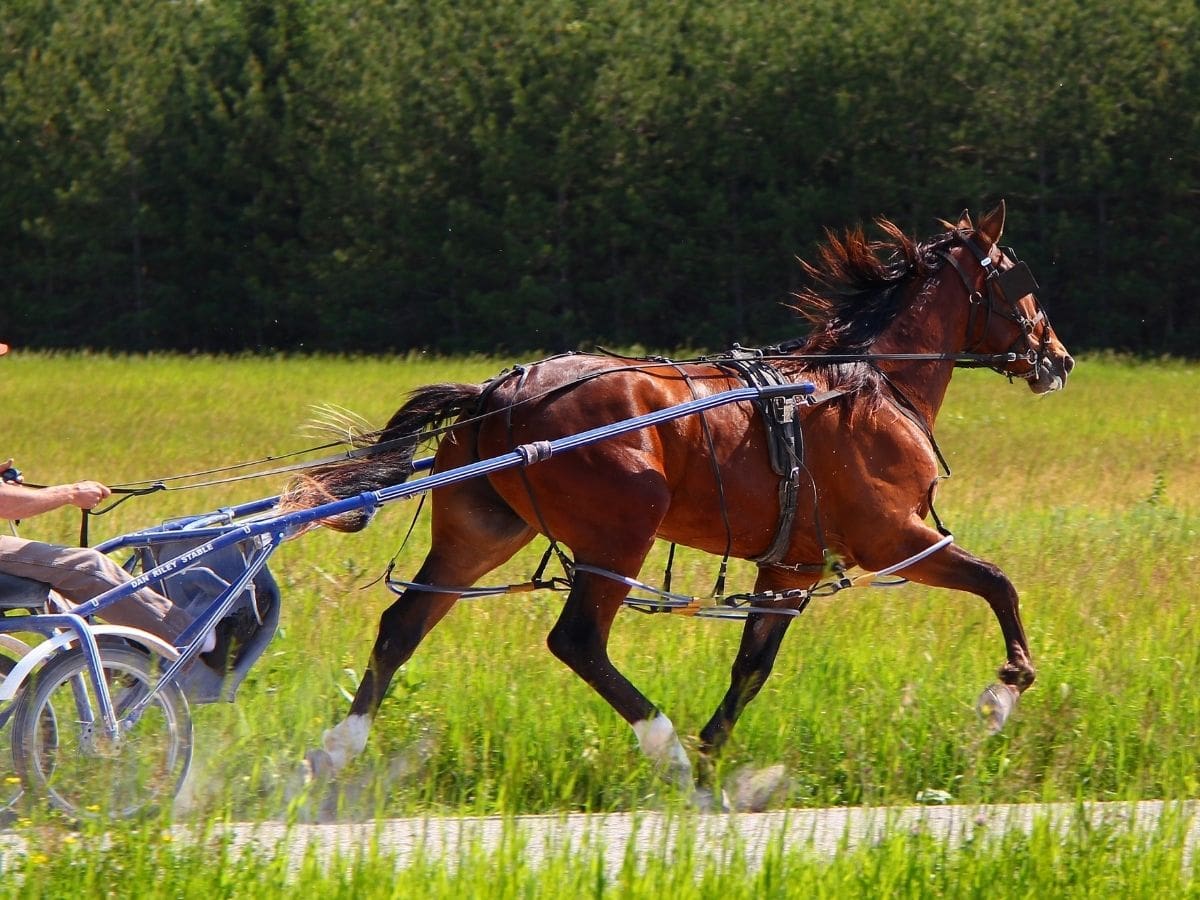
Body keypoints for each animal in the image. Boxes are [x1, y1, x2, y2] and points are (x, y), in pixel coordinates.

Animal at [286, 201, 1073, 802]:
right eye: (1020, 280)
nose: (1058, 358)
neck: (868, 384)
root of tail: (498, 393)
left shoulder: (791, 567)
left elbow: (751, 669)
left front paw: (712, 759)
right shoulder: (894, 538)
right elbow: (999, 584)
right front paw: (1003, 693)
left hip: (483, 532)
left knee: (401, 628)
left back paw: (332, 755)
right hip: (620, 532)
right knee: (577, 641)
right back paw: (662, 748)